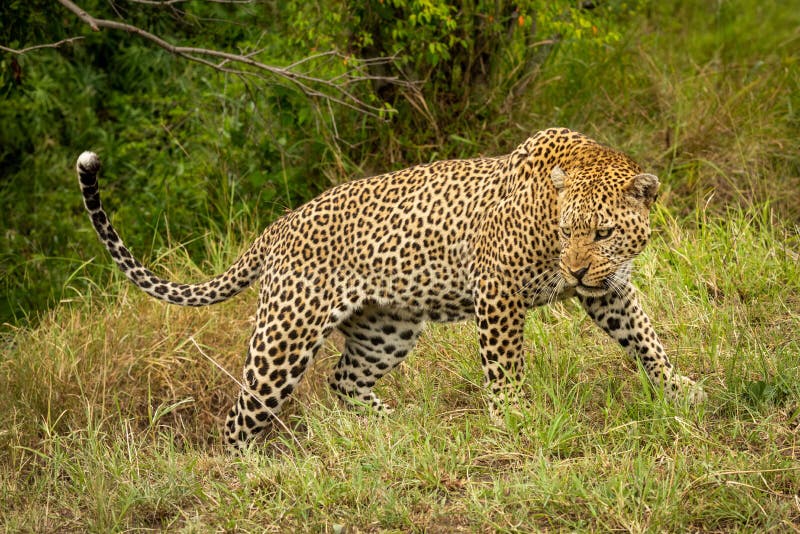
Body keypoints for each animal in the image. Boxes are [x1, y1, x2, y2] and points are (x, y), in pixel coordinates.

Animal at [75, 127, 705, 452]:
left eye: (602, 233)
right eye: (568, 229)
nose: (573, 272)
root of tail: (277, 226)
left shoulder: (608, 289)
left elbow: (646, 337)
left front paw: (680, 390)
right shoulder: (499, 293)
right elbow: (505, 367)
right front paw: (514, 420)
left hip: (388, 329)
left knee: (343, 381)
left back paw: (396, 424)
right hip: (284, 338)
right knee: (241, 415)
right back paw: (247, 471)